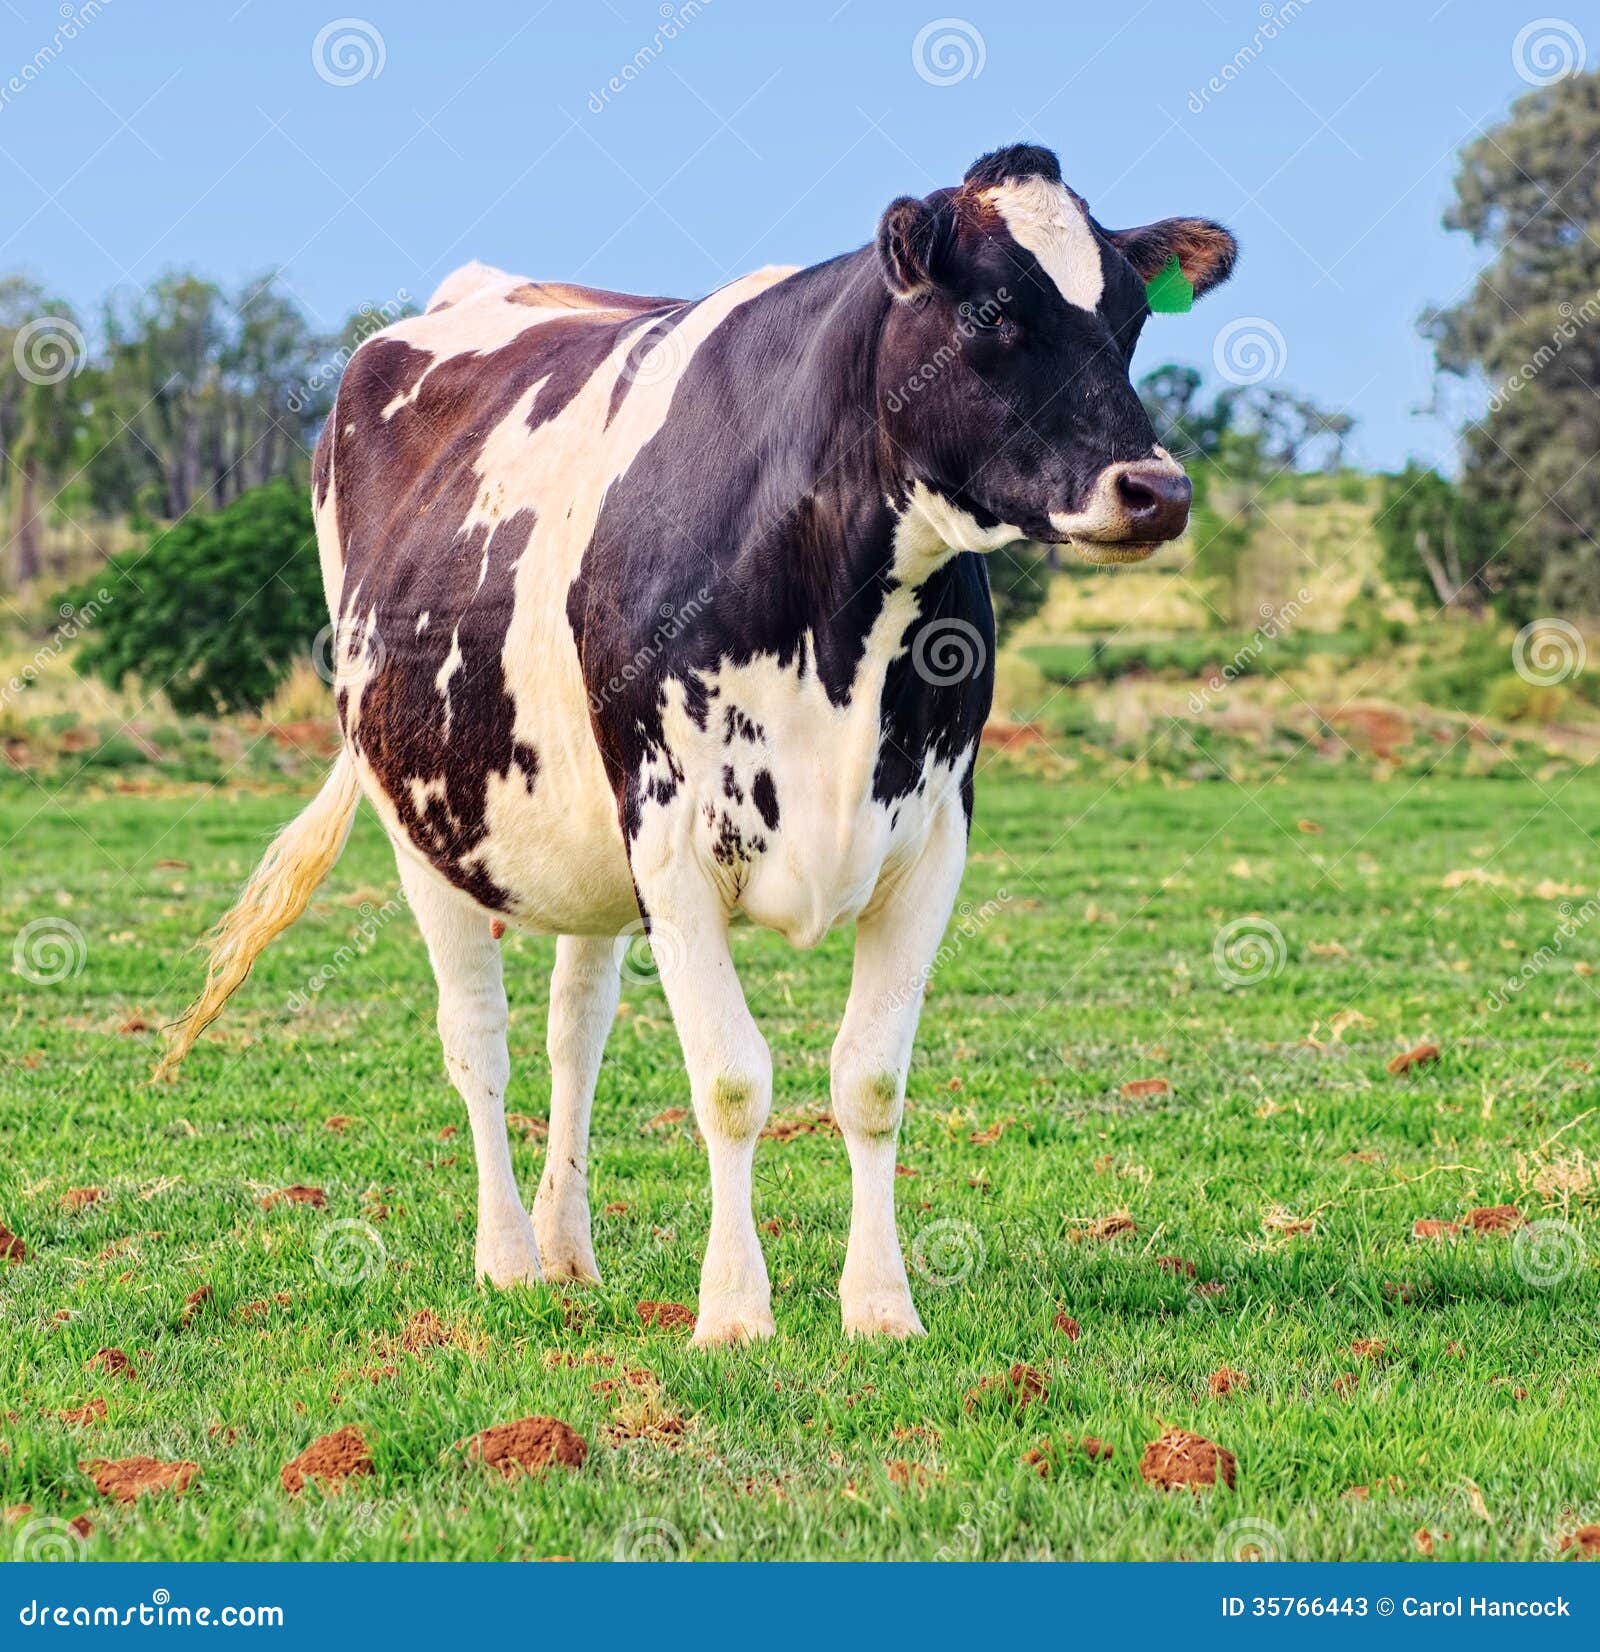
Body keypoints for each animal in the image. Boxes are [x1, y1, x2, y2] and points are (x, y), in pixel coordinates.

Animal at [158, 144, 1235, 1345]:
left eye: (1132, 316)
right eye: (992, 314)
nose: (1156, 490)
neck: (839, 618)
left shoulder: (931, 842)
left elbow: (870, 1080)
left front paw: (880, 1307)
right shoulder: (671, 840)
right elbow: (730, 1082)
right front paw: (732, 1314)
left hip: (586, 841)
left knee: (573, 1031)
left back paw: (569, 1249)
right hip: (425, 819)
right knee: (476, 1037)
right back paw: (509, 1257)